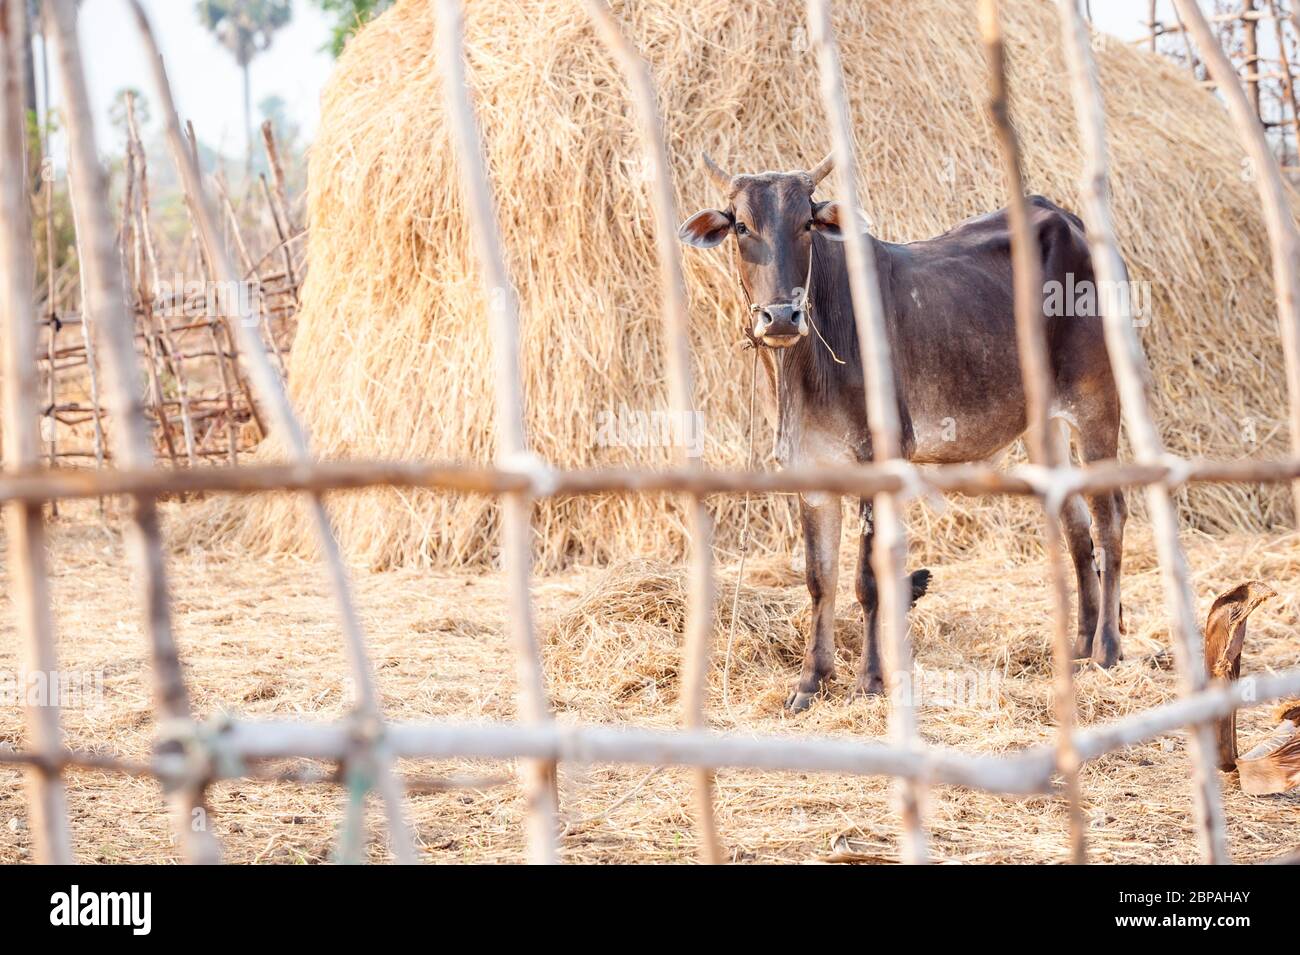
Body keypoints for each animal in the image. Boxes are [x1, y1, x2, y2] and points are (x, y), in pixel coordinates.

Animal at [678, 154, 1125, 712]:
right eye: (741, 226)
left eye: (806, 224)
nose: (781, 316)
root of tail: (1068, 219)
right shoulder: (812, 470)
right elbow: (819, 578)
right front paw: (810, 682)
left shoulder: (880, 458)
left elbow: (868, 579)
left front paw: (870, 679)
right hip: (1044, 426)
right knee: (1077, 524)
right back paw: (1082, 645)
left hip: (1097, 403)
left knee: (1110, 520)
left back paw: (1108, 650)